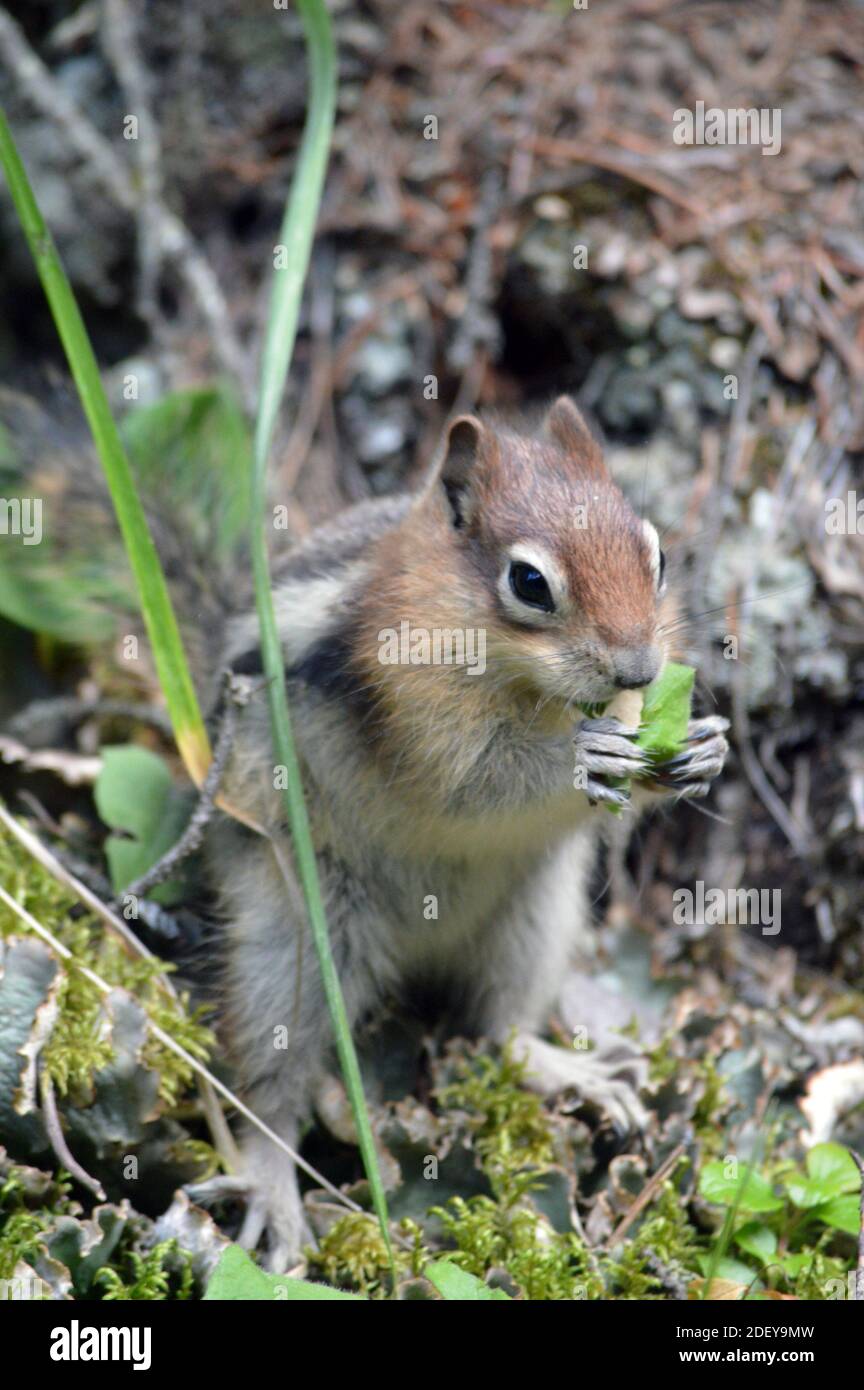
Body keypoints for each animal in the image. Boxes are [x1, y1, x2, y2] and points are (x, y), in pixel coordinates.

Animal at [0, 391, 729, 1269]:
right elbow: (472, 778)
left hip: (537, 909)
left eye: (657, 556)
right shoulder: (412, 700)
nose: (639, 670)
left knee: (502, 1029)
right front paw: (581, 756)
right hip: (299, 927)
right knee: (271, 1080)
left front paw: (701, 747)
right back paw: (272, 1190)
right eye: (529, 582)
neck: (527, 681)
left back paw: (567, 1069)